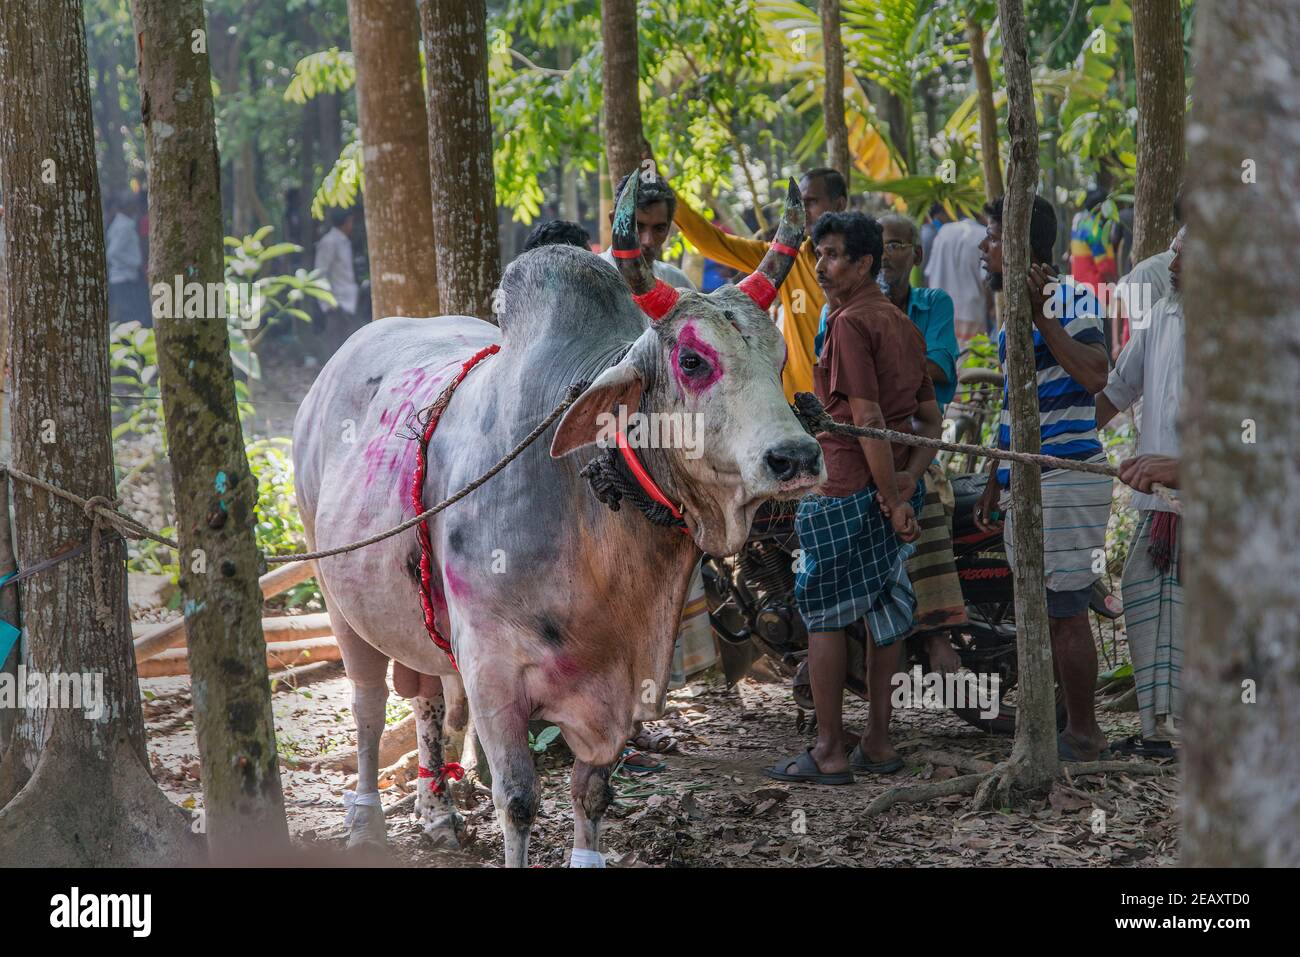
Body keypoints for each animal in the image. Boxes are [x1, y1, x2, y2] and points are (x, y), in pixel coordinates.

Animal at [292, 176, 823, 867]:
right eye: (693, 361)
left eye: (781, 355)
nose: (797, 457)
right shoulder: (493, 671)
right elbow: (518, 801)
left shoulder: (621, 683)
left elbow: (592, 791)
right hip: (335, 594)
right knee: (368, 703)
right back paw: (364, 819)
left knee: (427, 698)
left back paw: (436, 810)